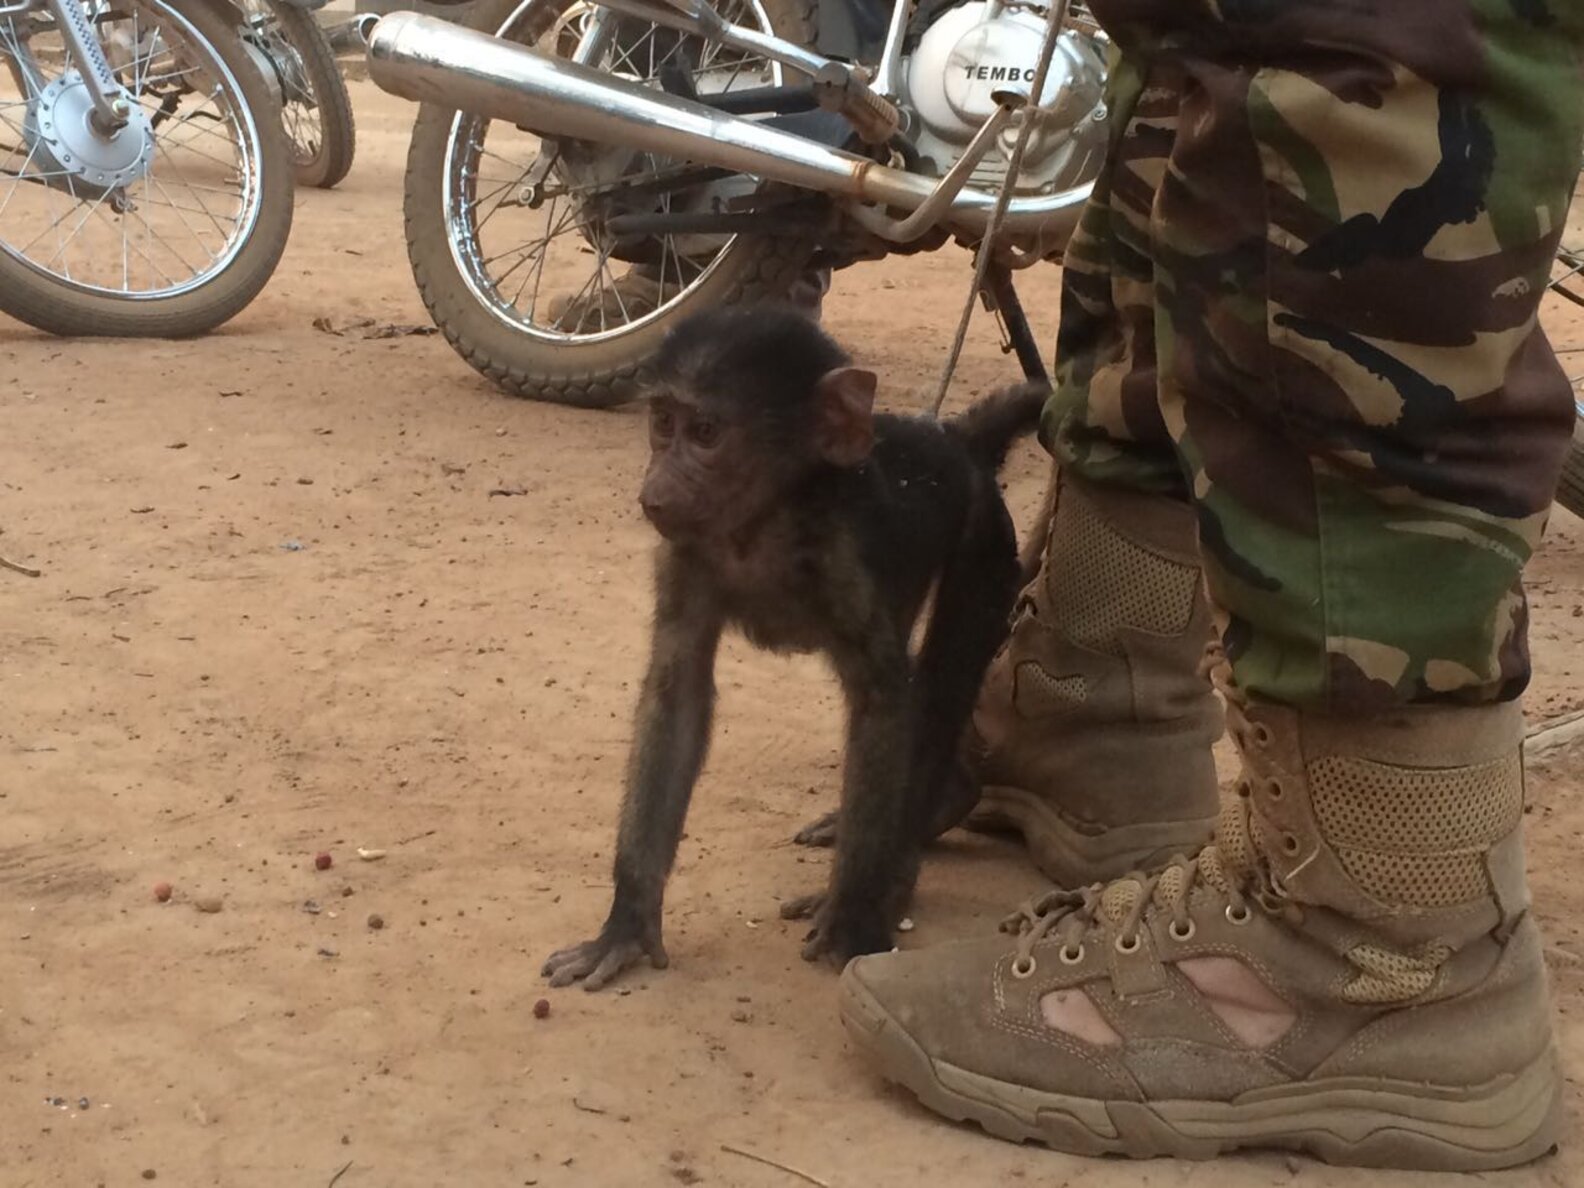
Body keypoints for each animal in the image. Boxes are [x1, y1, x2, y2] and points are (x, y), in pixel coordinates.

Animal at [542, 306, 1046, 991]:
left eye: (706, 433)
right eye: (663, 423)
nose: (655, 488)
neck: (763, 524)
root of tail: (958, 441)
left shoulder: (844, 557)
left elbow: (883, 701)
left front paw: (852, 920)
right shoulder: (688, 553)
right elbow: (678, 689)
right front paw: (627, 922)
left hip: (987, 543)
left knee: (941, 683)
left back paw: (905, 857)